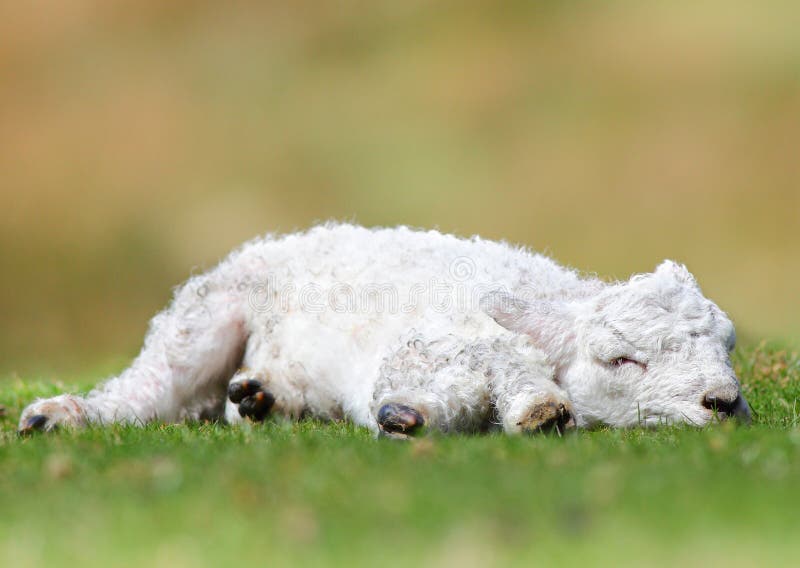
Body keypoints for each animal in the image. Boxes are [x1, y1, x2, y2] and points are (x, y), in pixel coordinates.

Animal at [18, 223, 751, 436]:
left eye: (727, 348)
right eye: (622, 360)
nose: (723, 402)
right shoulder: (426, 341)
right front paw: (539, 407)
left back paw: (261, 399)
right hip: (207, 312)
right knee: (150, 387)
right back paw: (61, 415)